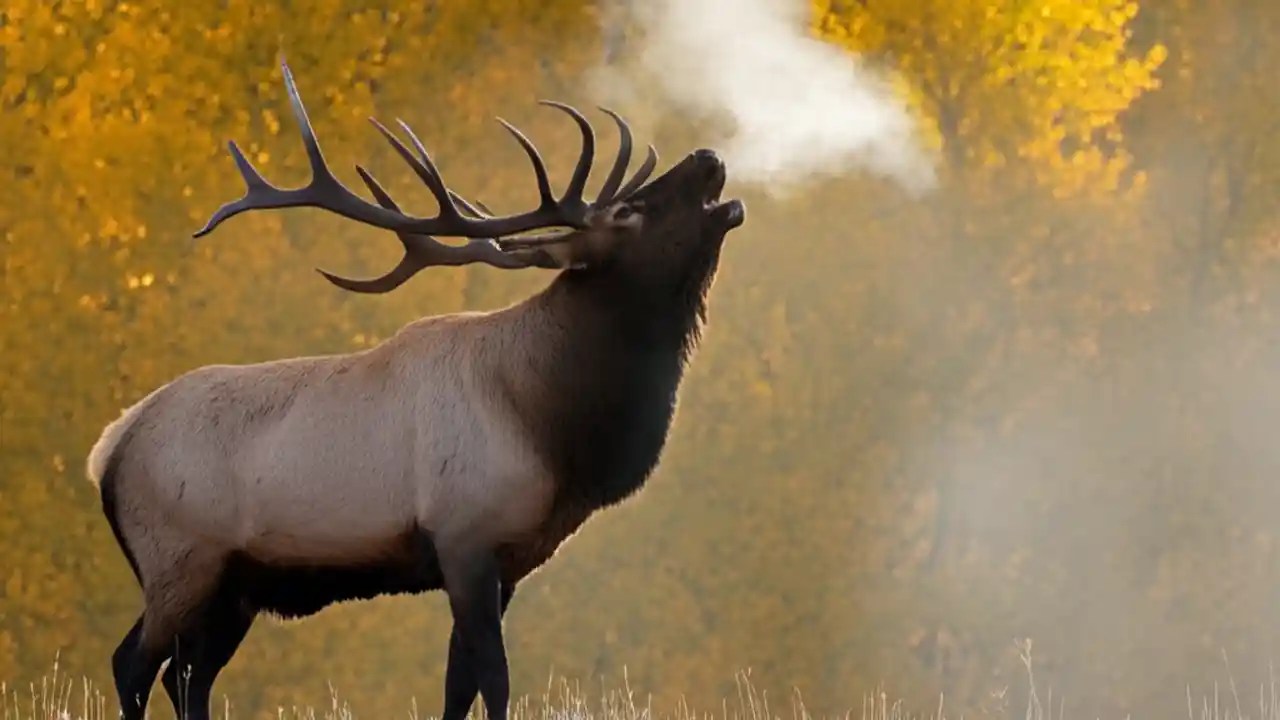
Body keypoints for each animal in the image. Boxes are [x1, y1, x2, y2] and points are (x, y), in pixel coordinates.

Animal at [86, 62, 745, 720]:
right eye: (629, 210)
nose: (708, 156)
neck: (550, 422)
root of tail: (111, 448)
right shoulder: (464, 535)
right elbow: (494, 680)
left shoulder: (506, 560)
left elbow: (459, 686)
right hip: (180, 557)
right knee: (133, 664)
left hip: (233, 587)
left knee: (186, 678)